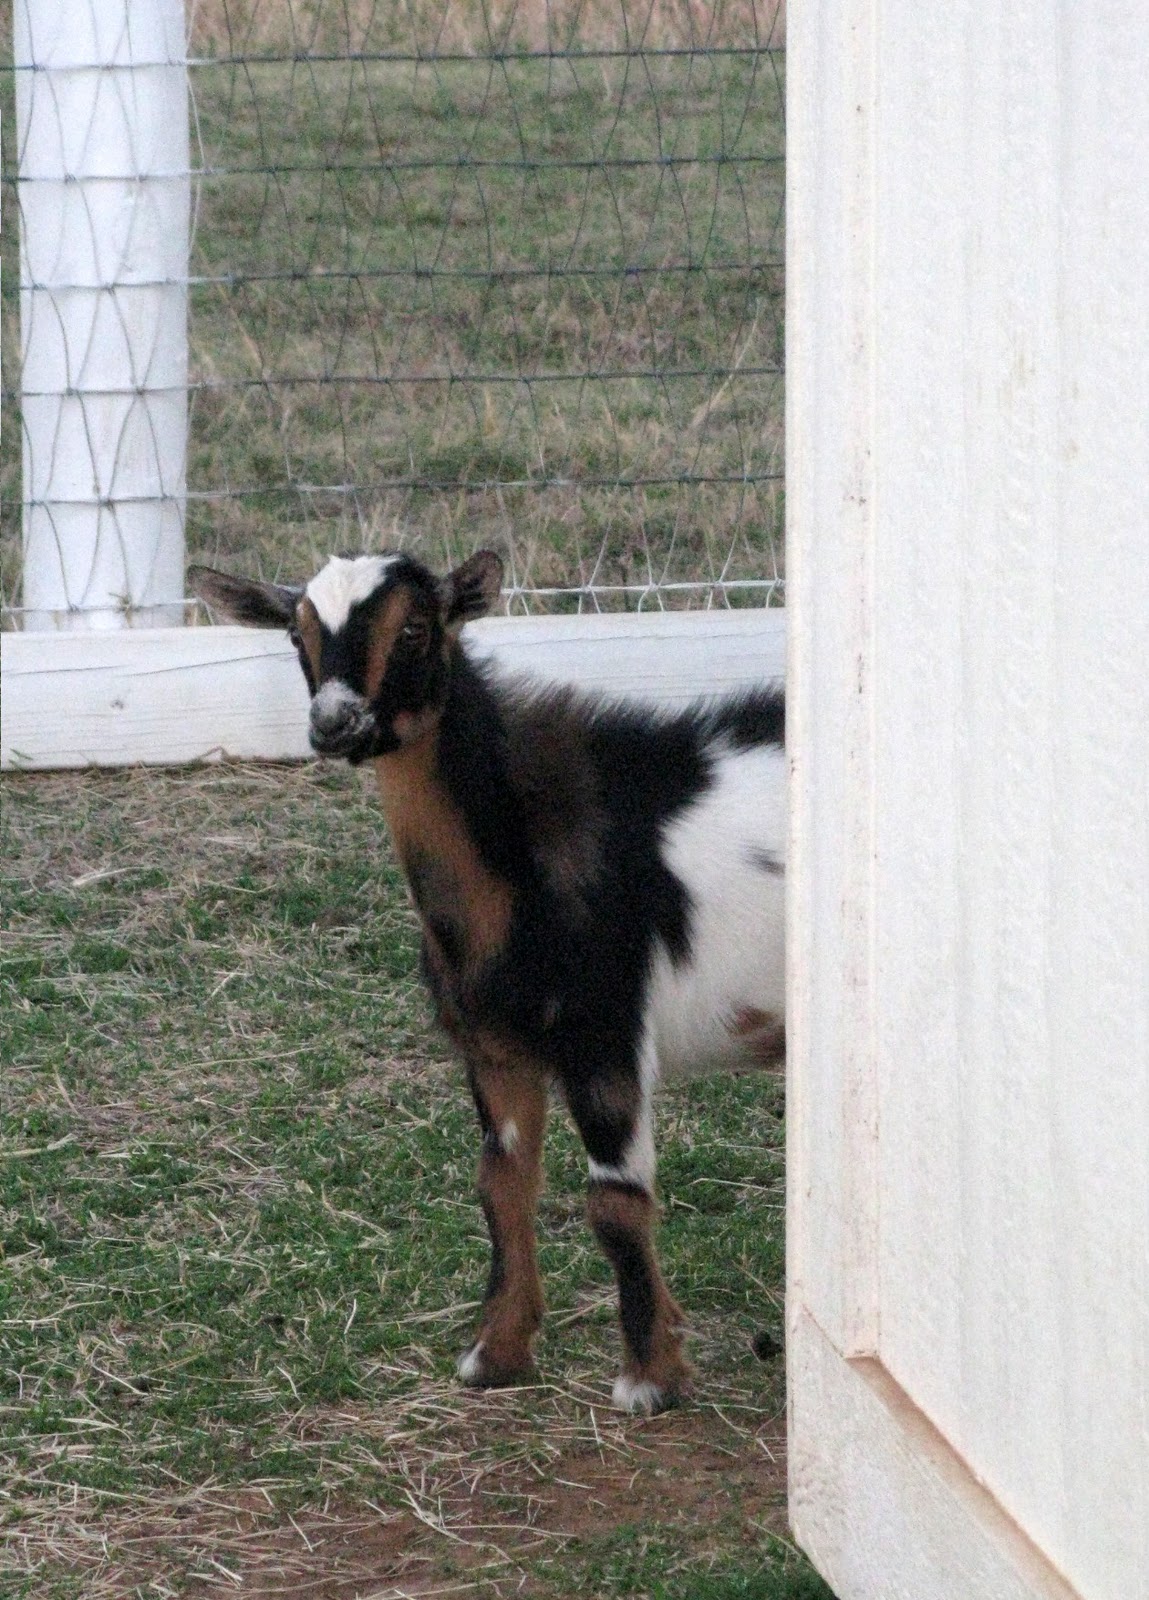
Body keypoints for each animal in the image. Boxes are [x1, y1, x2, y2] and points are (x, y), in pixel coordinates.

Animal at [189, 550, 785, 1414]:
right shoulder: (494, 1048)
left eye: (414, 627)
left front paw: (650, 1377)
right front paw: (494, 1353)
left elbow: (614, 1202)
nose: (335, 722)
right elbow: (501, 1185)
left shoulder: (604, 1036)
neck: (518, 860)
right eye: (296, 634)